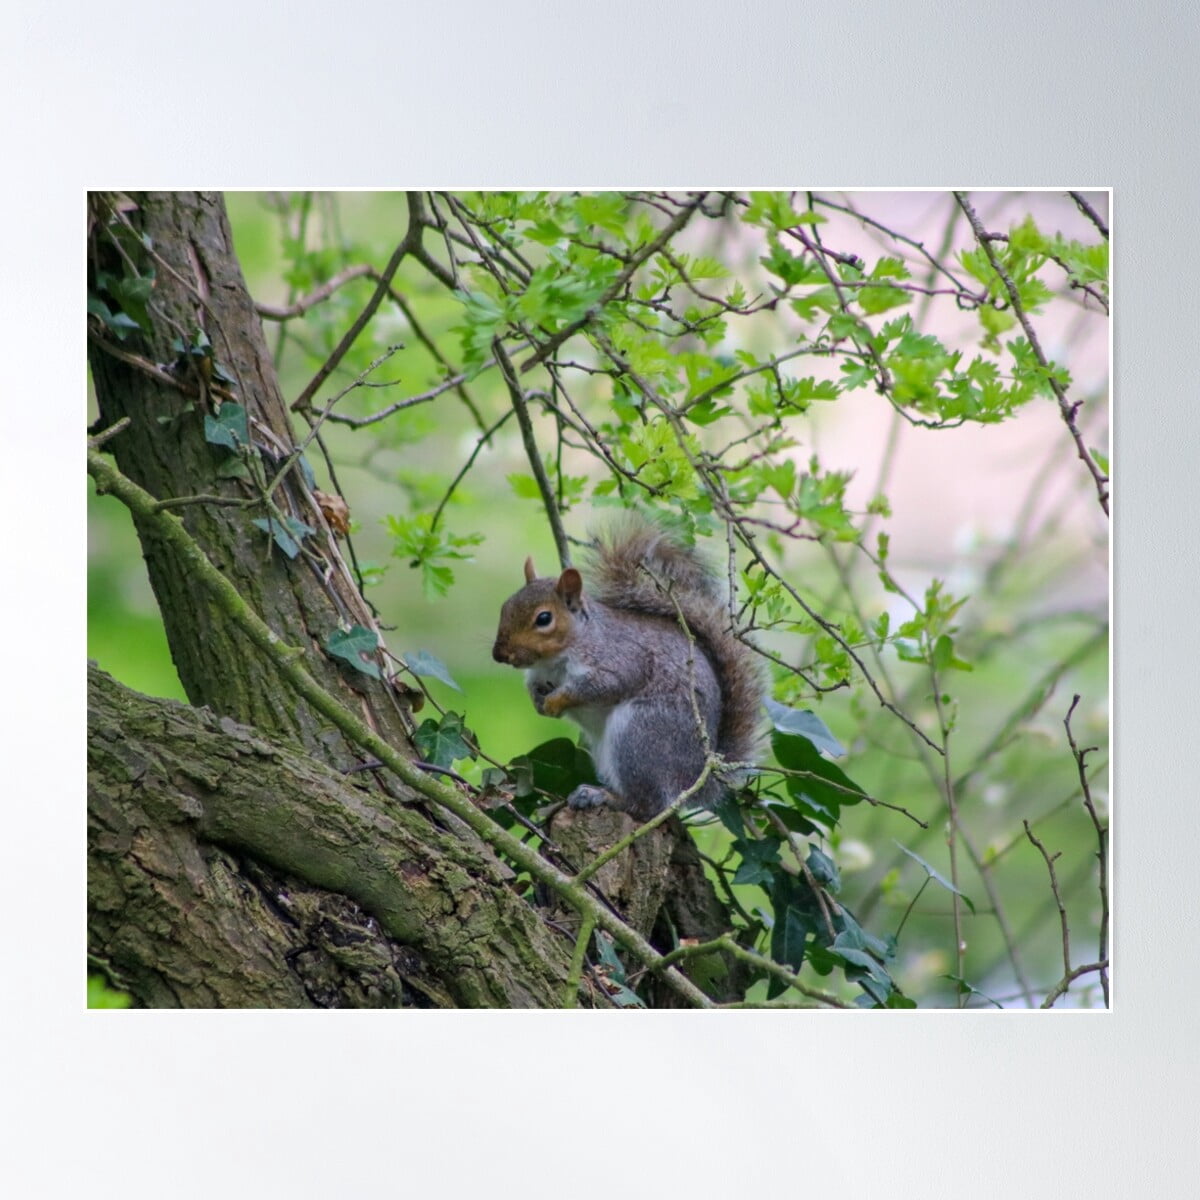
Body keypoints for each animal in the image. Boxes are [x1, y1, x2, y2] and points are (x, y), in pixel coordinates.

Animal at [491, 520, 767, 820]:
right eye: (505, 607)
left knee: (648, 805)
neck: (553, 660)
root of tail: (697, 779)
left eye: (544, 618)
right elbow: (533, 687)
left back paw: (603, 796)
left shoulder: (621, 659)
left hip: (639, 735)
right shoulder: (538, 675)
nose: (499, 654)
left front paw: (556, 701)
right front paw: (539, 702)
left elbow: (604, 686)